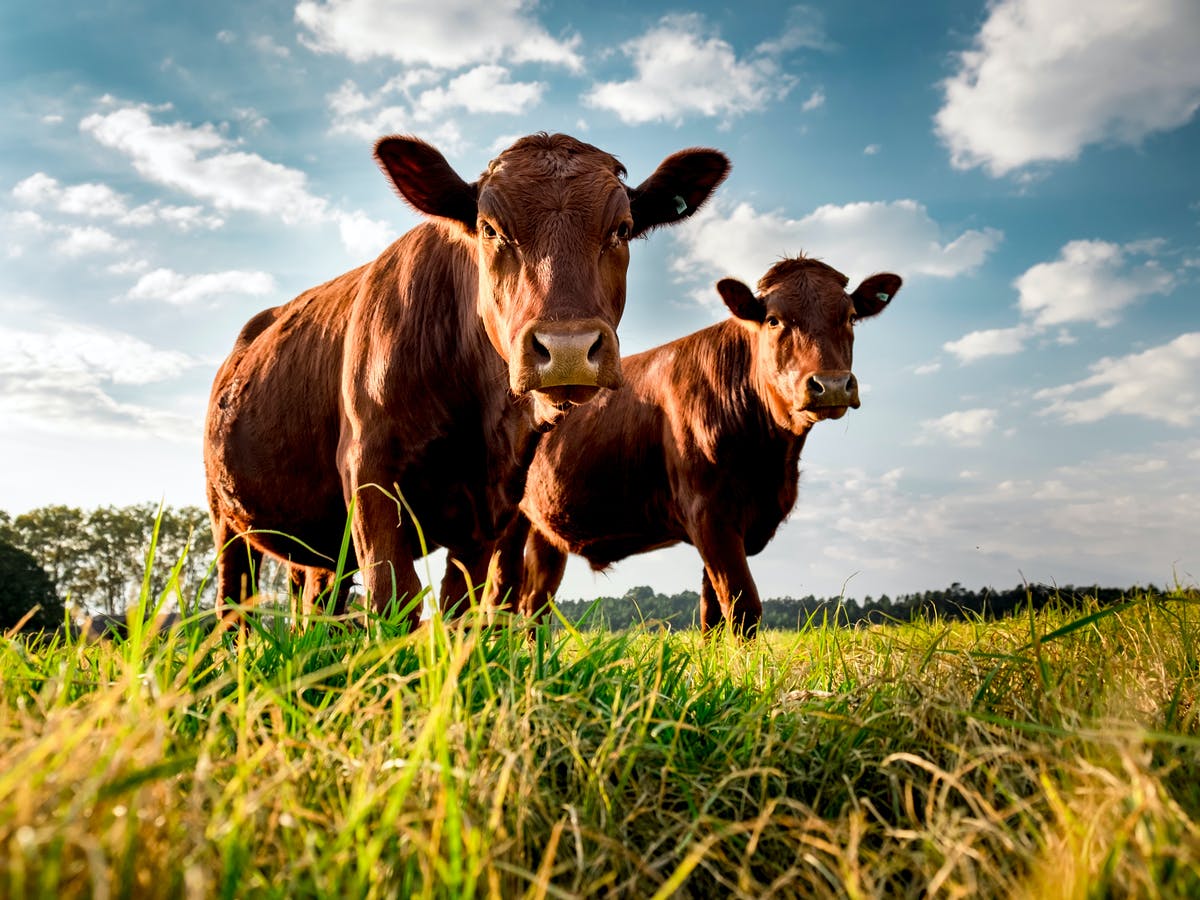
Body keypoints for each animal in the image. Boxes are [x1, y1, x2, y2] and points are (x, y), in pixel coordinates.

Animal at [204, 133, 730, 631]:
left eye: (620, 229)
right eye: (490, 229)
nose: (567, 350)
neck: (474, 411)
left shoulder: (491, 505)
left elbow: (461, 608)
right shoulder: (367, 468)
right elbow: (393, 595)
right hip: (226, 516)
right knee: (234, 603)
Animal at [493, 255, 901, 637]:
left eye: (850, 317)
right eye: (774, 320)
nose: (830, 385)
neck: (771, 461)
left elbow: (713, 614)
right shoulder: (708, 512)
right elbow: (742, 607)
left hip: (546, 528)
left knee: (535, 603)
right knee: (500, 597)